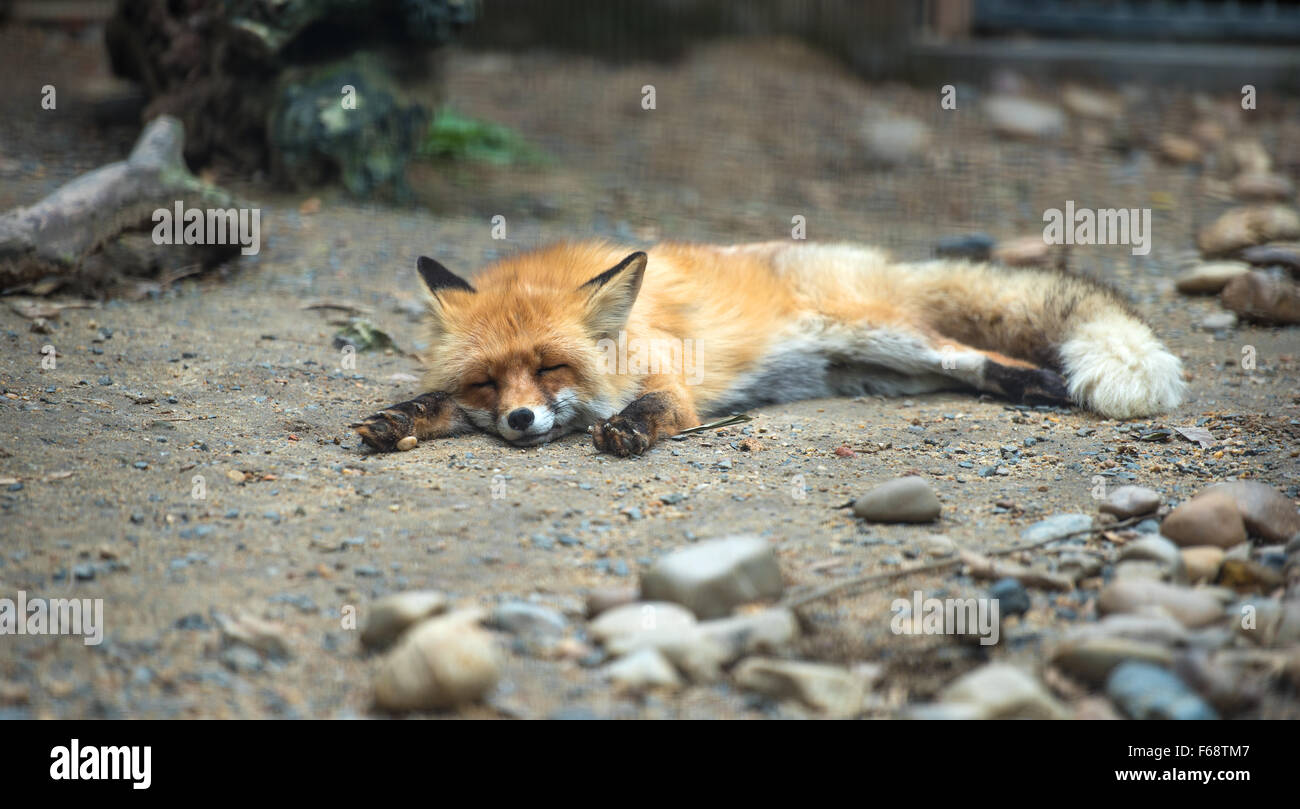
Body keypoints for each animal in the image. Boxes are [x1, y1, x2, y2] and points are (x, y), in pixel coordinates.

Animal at [351, 241, 1185, 456]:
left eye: (551, 366)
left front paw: (625, 430)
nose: (522, 423)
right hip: (874, 372)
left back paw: (1040, 382)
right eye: (488, 383)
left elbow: (651, 409)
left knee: (969, 351)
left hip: (887, 336)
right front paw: (401, 417)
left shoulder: (672, 384)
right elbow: (430, 403)